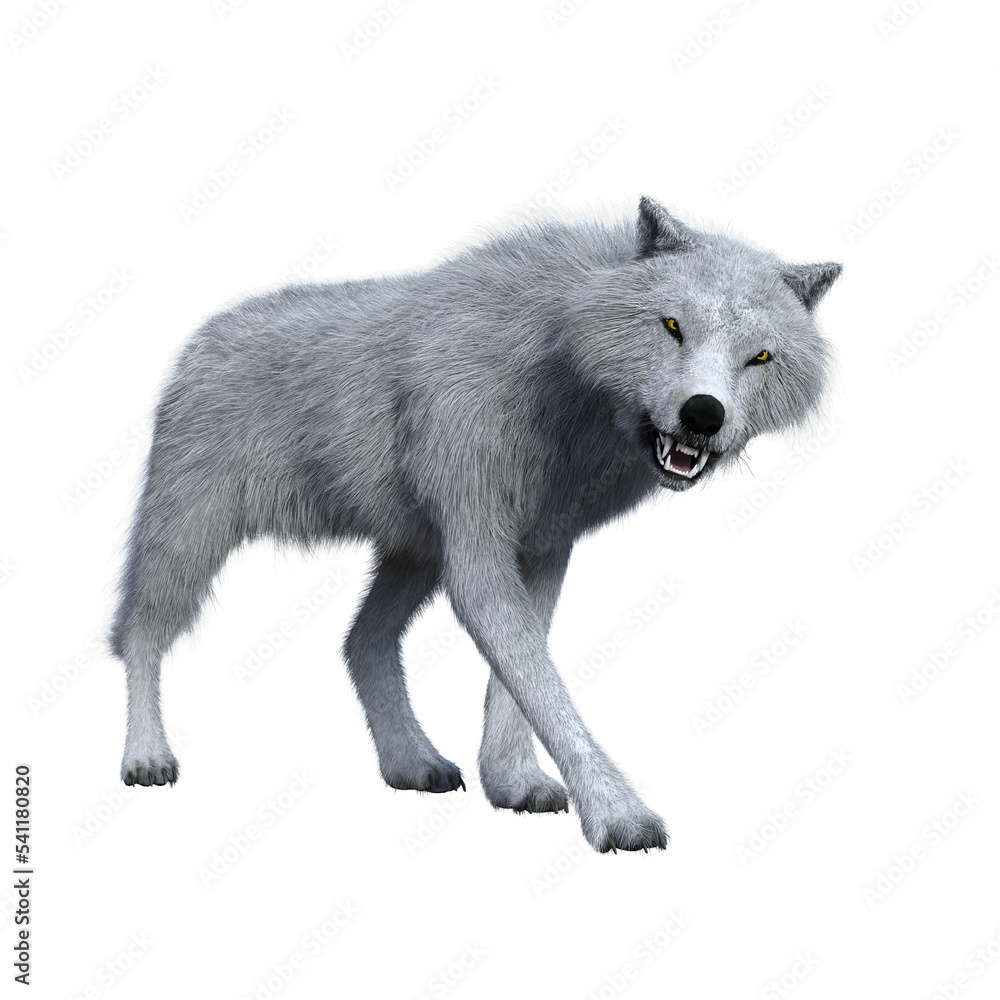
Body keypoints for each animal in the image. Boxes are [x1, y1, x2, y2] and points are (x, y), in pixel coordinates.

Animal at [109, 196, 840, 853]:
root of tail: (203, 335)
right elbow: (539, 681)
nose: (703, 414)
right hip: (190, 536)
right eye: (671, 325)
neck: (562, 382)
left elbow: (521, 678)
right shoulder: (476, 554)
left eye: (761, 357)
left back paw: (412, 763)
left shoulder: (542, 549)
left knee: (359, 642)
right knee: (138, 635)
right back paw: (146, 756)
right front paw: (619, 815)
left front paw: (513, 783)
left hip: (412, 556)